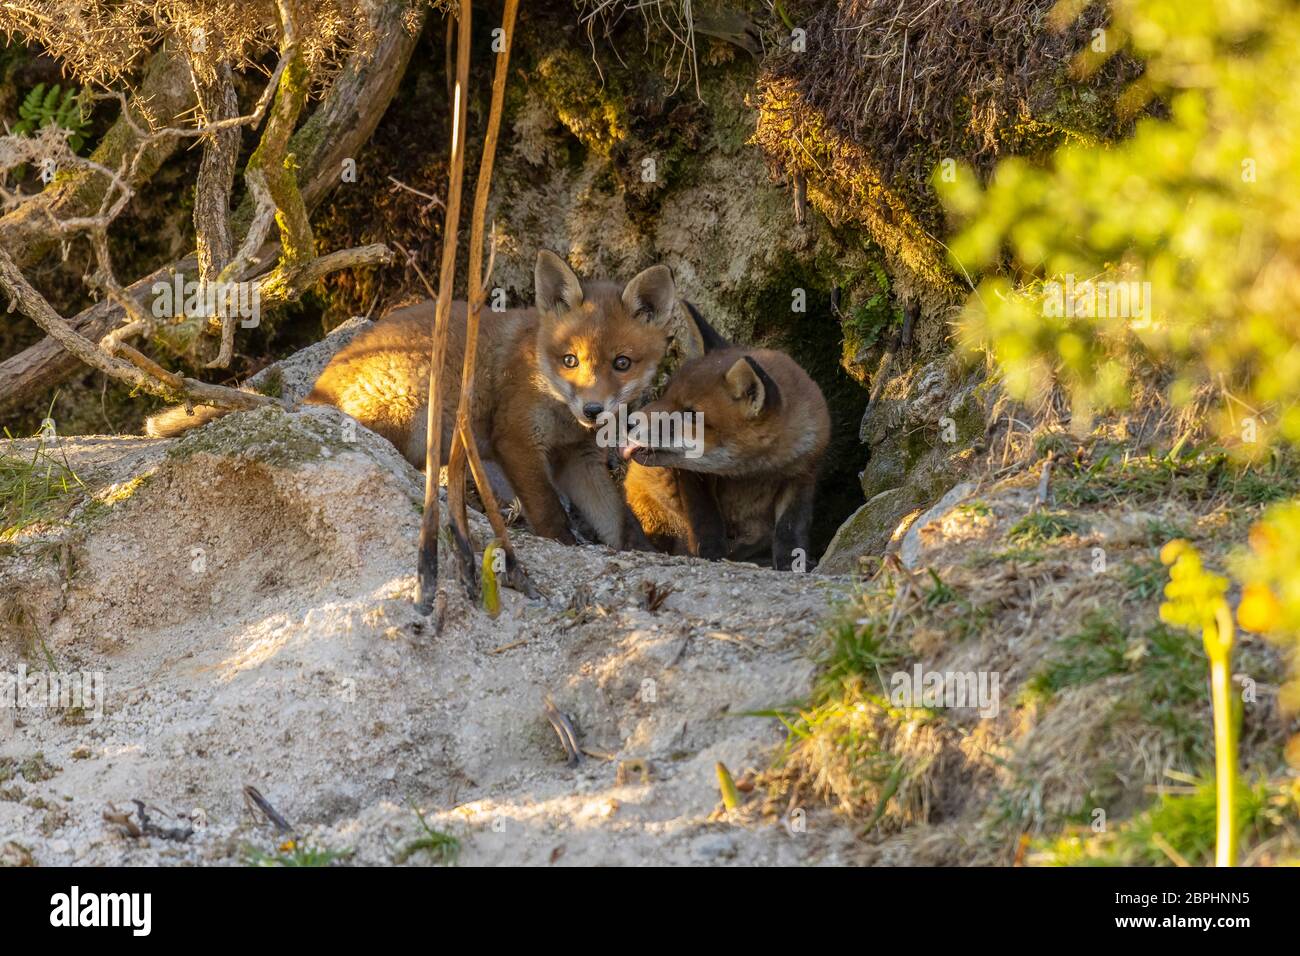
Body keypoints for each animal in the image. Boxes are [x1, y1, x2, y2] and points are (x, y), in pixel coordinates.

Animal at [145, 250, 679, 548]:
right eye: (570, 360)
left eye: (622, 363)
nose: (592, 410)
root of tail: (314, 391)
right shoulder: (517, 443)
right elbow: (549, 513)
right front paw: (561, 543)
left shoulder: (578, 457)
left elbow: (616, 519)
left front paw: (638, 552)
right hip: (418, 403)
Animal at [620, 304, 830, 570]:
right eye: (665, 393)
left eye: (690, 413)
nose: (628, 421)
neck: (750, 472)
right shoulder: (692, 475)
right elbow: (705, 520)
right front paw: (710, 554)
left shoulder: (802, 474)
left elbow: (790, 529)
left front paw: (792, 564)